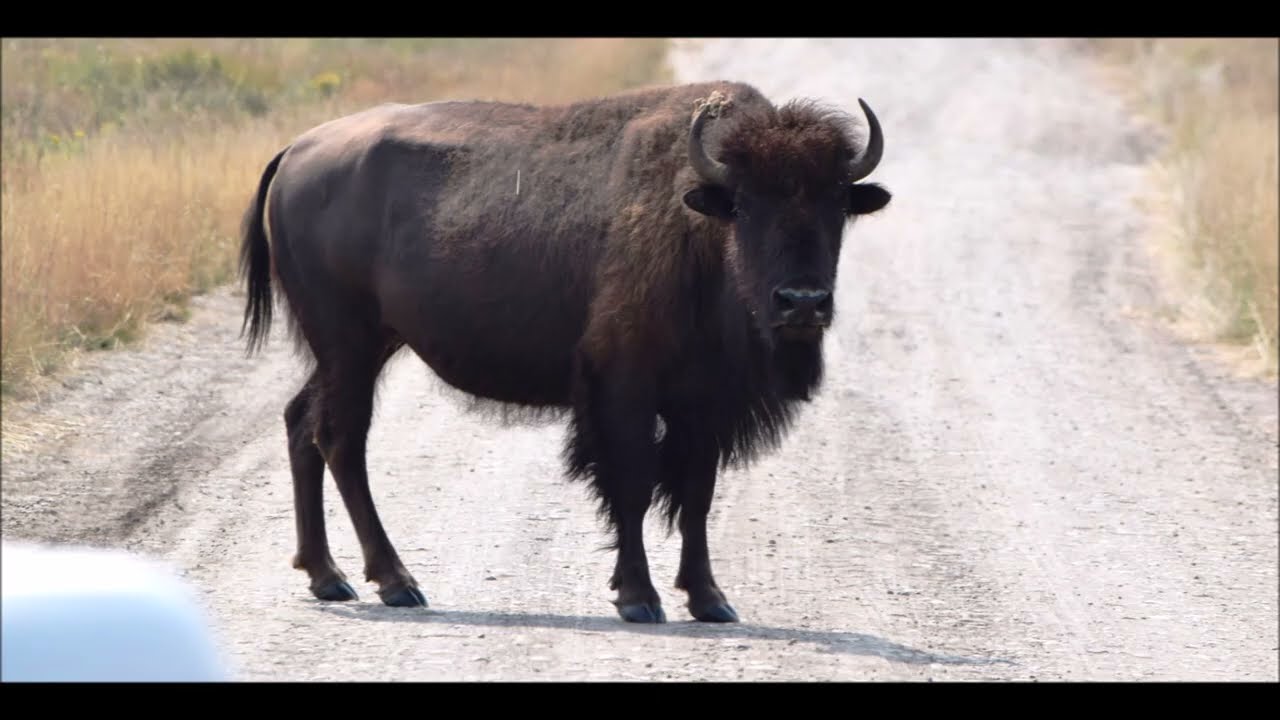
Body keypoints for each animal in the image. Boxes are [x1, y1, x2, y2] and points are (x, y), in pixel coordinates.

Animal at [238, 80, 890, 623]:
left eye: (837, 203)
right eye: (746, 203)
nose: (802, 302)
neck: (697, 219)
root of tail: (296, 151)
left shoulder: (701, 404)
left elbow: (696, 495)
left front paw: (710, 600)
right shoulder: (624, 390)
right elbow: (632, 486)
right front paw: (638, 598)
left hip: (359, 349)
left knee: (302, 422)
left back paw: (327, 577)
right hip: (348, 346)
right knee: (342, 440)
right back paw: (396, 583)